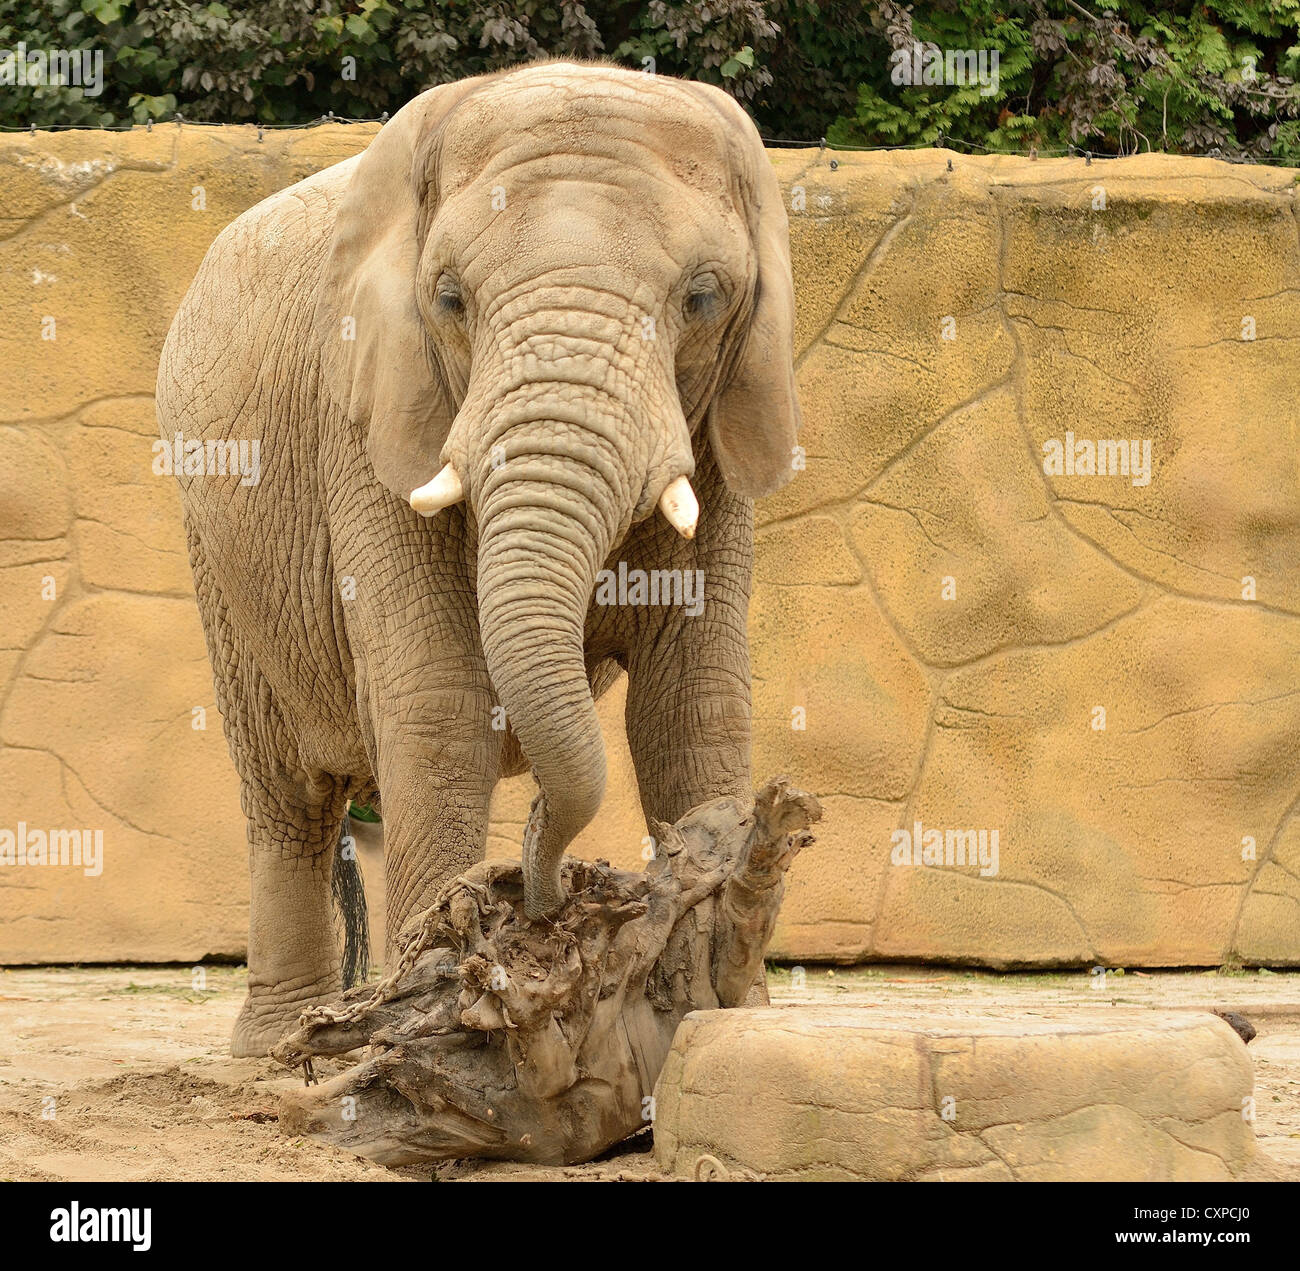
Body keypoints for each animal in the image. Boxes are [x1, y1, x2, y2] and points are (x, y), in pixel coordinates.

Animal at [156, 60, 801, 1058]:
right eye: (451, 298)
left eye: (703, 297)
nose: (544, 880)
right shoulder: (369, 414)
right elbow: (439, 698)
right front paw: (433, 1028)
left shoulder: (724, 428)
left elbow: (692, 703)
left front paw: (719, 1012)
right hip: (217, 544)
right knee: (289, 795)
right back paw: (276, 1043)